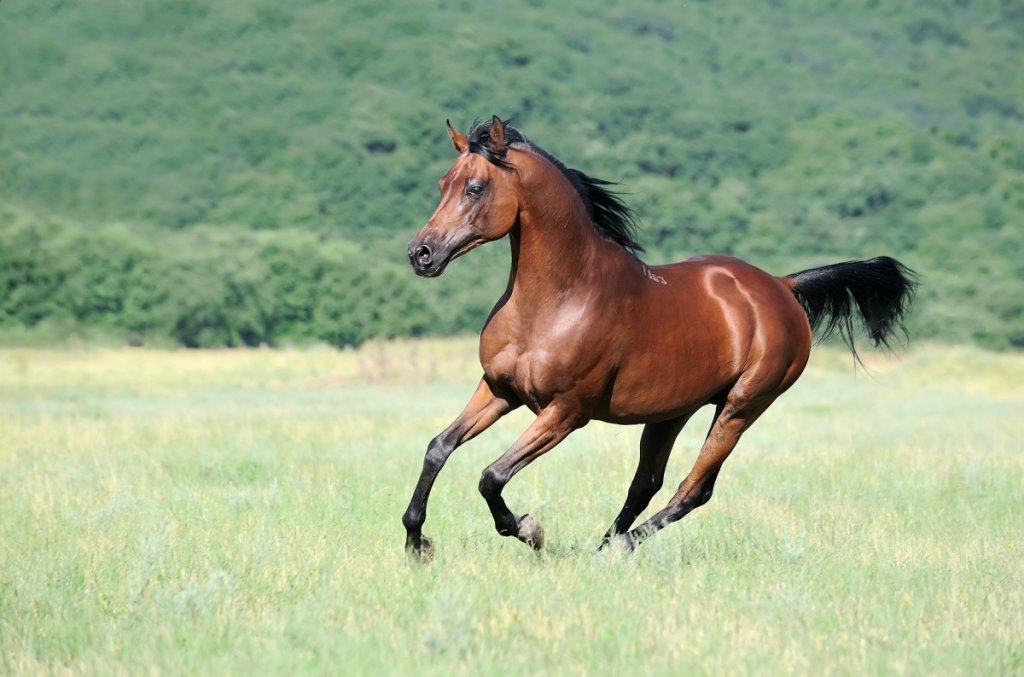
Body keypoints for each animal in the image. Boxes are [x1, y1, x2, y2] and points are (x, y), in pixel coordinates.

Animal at [402, 116, 916, 559]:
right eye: (442, 184)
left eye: (475, 187)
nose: (421, 254)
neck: (558, 300)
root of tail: (782, 285)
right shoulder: (498, 389)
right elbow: (438, 448)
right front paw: (416, 543)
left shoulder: (566, 413)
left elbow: (492, 475)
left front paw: (530, 530)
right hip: (673, 411)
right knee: (645, 483)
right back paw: (603, 548)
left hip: (742, 406)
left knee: (694, 488)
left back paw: (619, 548)